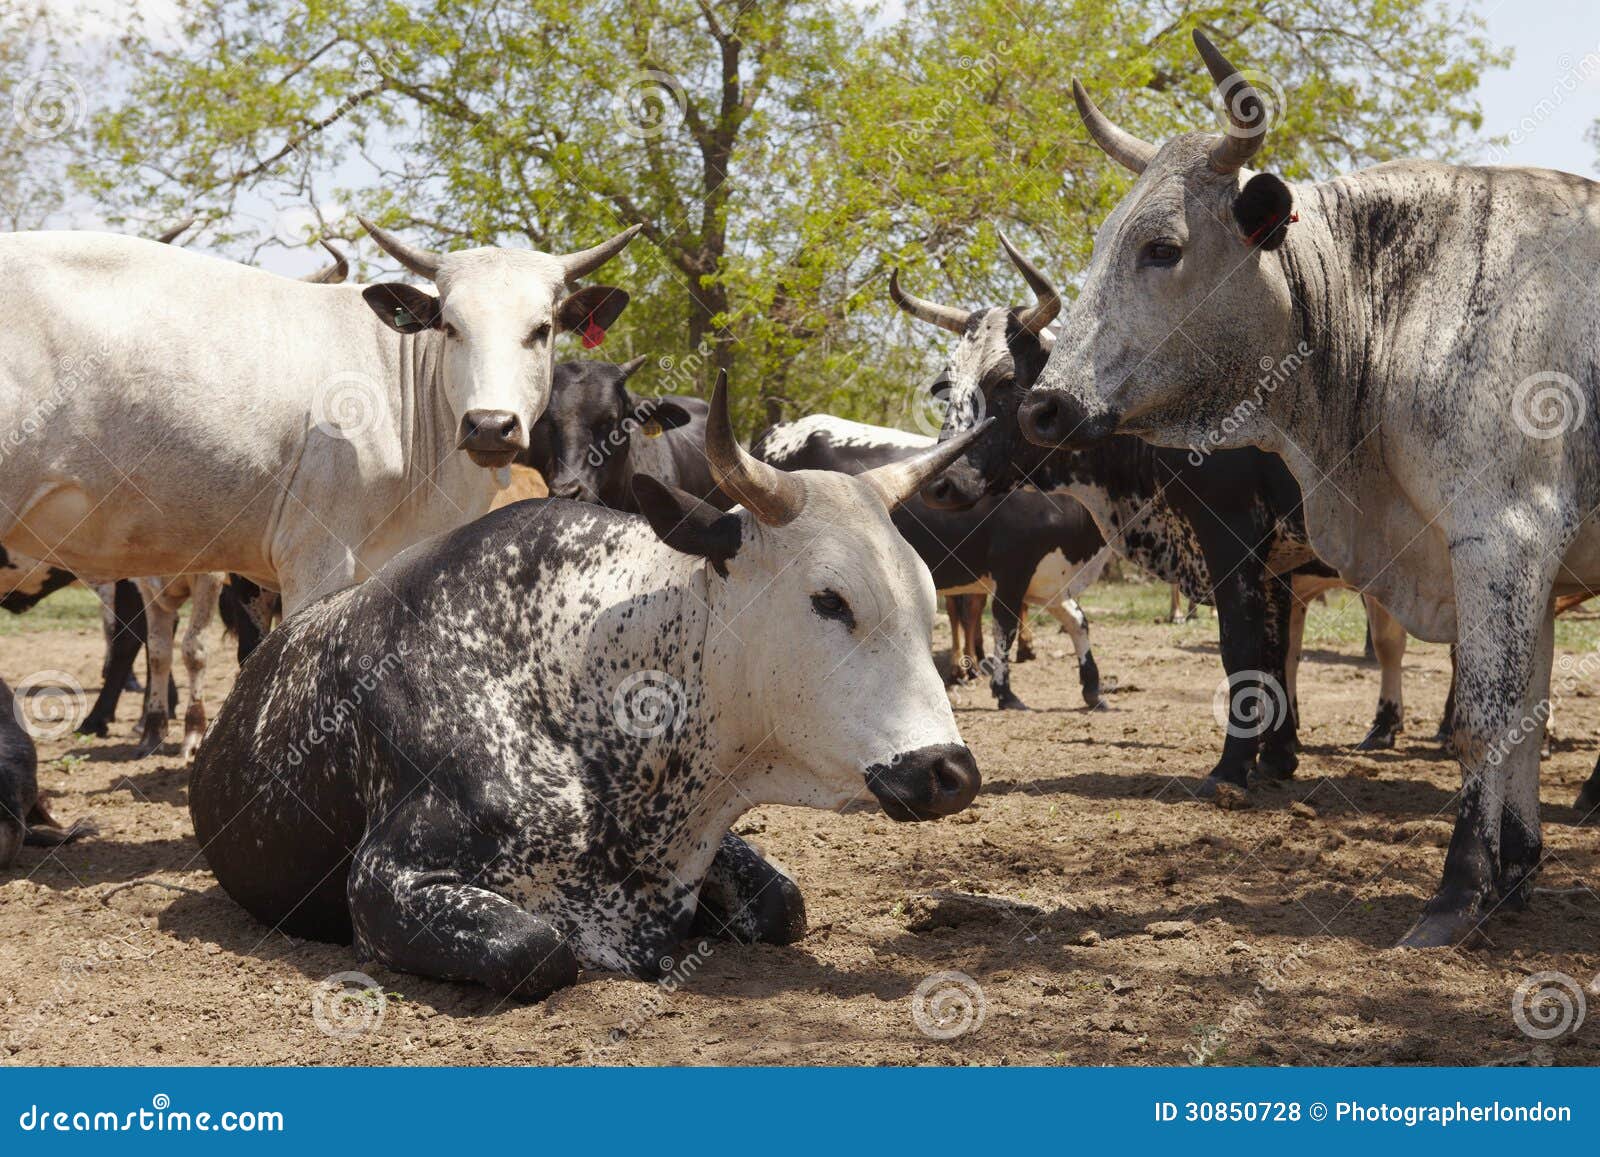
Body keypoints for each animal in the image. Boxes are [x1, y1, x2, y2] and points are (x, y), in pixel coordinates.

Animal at [188, 375, 984, 997]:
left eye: (925, 596)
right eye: (830, 599)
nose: (951, 771)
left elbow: (785, 903)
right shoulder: (386, 877)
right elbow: (540, 950)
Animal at [753, 414, 1110, 710]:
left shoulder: (1051, 579)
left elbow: (1078, 621)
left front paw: (1092, 689)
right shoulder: (1011, 572)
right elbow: (1005, 629)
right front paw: (1005, 692)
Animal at [898, 231, 1417, 798]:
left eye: (1006, 381)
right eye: (945, 386)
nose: (941, 484)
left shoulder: (1232, 538)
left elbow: (1242, 650)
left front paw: (1232, 768)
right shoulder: (1277, 563)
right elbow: (1277, 655)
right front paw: (1278, 757)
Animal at [1021, 29, 1600, 944]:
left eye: (1162, 247)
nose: (1046, 404)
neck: (1402, 302)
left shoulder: (1502, 538)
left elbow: (1483, 723)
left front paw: (1458, 893)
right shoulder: (1527, 568)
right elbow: (1525, 722)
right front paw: (1513, 876)